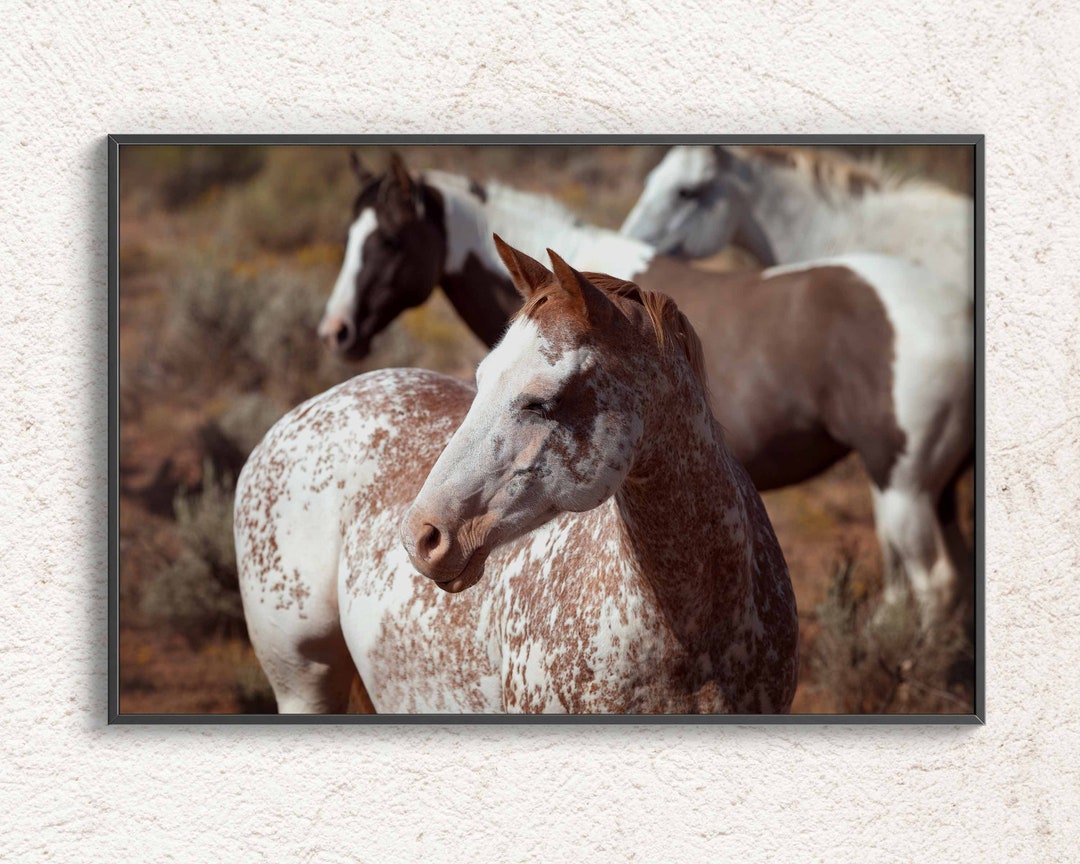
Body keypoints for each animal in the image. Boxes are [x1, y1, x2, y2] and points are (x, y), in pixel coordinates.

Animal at [235, 239, 799, 713]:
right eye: (481, 379)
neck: (698, 631)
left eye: (540, 401)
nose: (422, 537)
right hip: (303, 685)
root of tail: (296, 417)